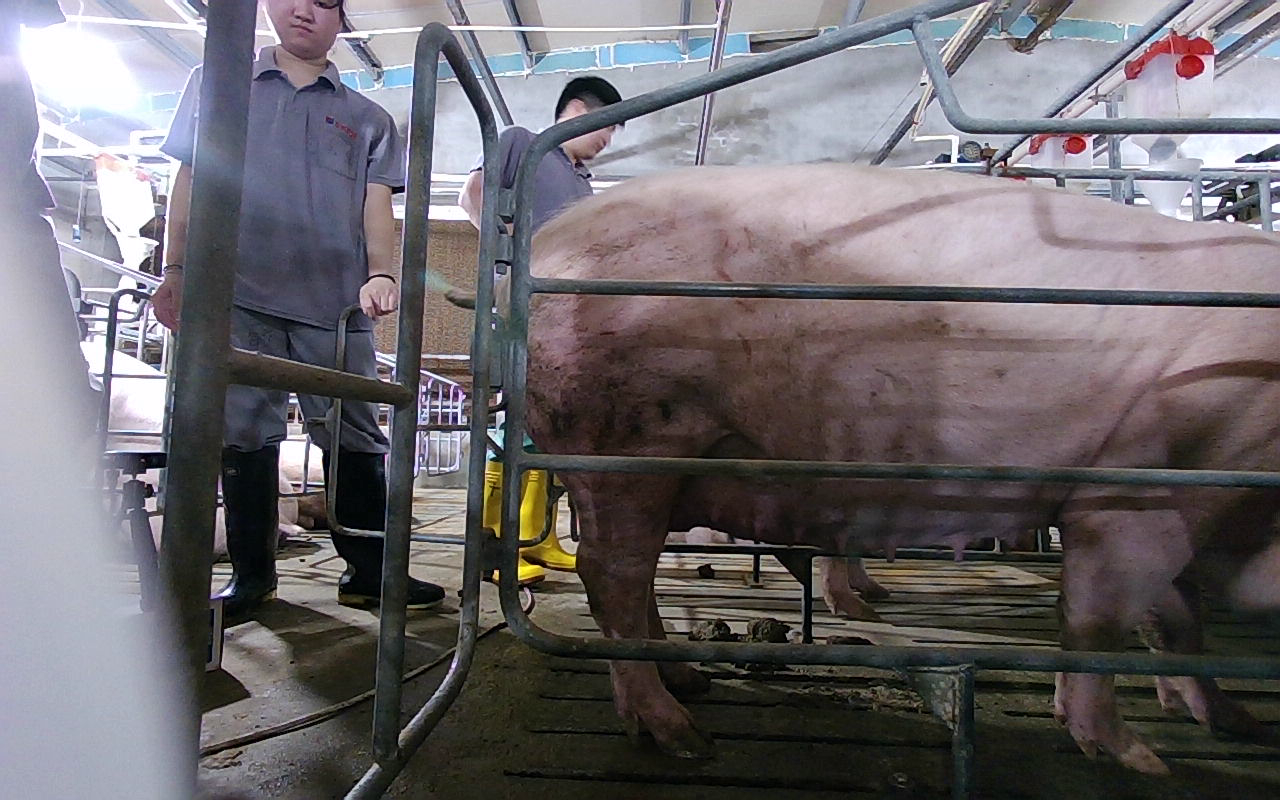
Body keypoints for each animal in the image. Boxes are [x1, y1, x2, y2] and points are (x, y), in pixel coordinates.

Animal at [520, 163, 1280, 773]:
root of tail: (546, 245)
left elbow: (1178, 621)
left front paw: (1235, 723)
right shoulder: (1144, 483)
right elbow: (1102, 620)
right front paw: (1144, 761)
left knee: (635, 571)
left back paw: (691, 684)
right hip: (624, 437)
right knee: (609, 574)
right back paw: (683, 737)